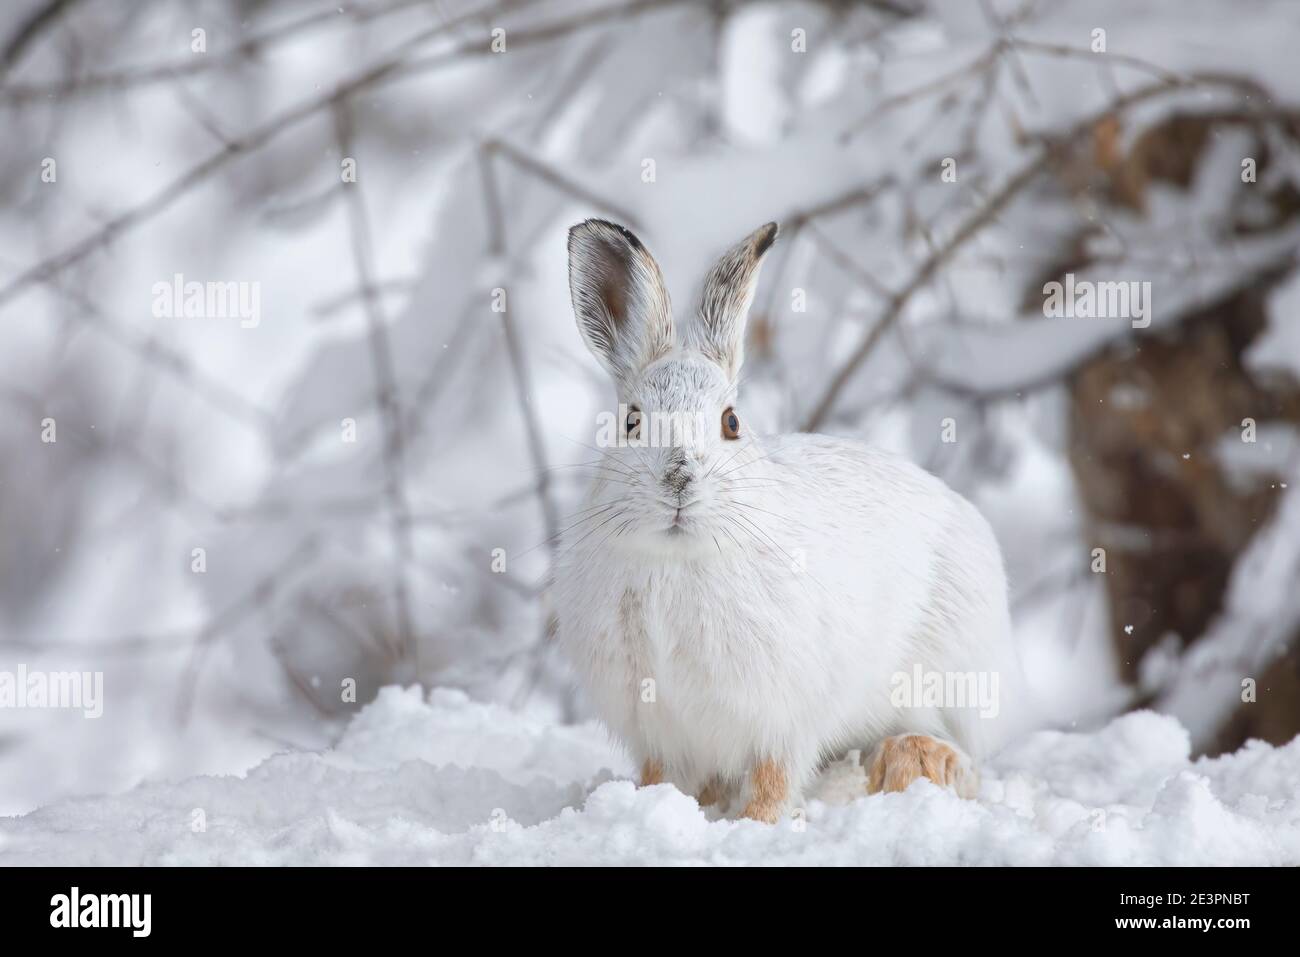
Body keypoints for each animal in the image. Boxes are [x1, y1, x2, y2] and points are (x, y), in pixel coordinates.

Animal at [552, 218, 1025, 822]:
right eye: (631, 422)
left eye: (731, 422)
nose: (679, 480)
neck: (677, 557)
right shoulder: (659, 728)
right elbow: (664, 777)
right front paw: (655, 805)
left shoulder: (783, 720)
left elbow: (774, 778)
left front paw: (757, 824)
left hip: (956, 673)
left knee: (966, 754)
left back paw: (916, 759)